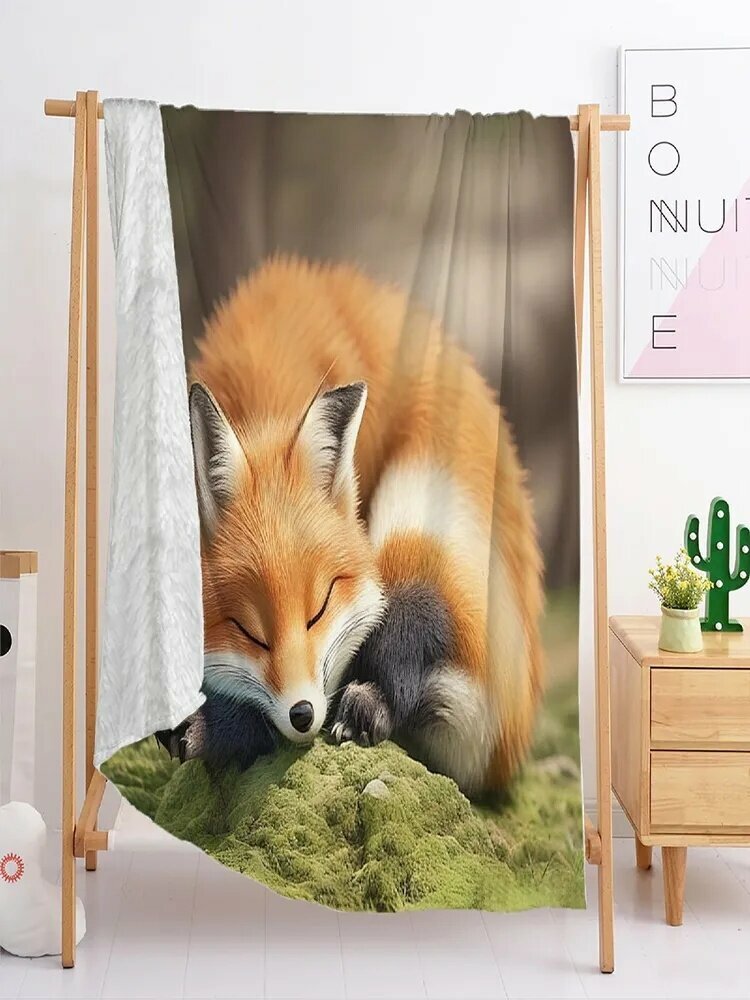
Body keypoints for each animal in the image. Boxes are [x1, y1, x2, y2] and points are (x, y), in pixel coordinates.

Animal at [160, 256, 544, 797]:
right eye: (249, 632)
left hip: (428, 497)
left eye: (318, 609)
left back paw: (372, 700)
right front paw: (220, 723)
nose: (303, 713)